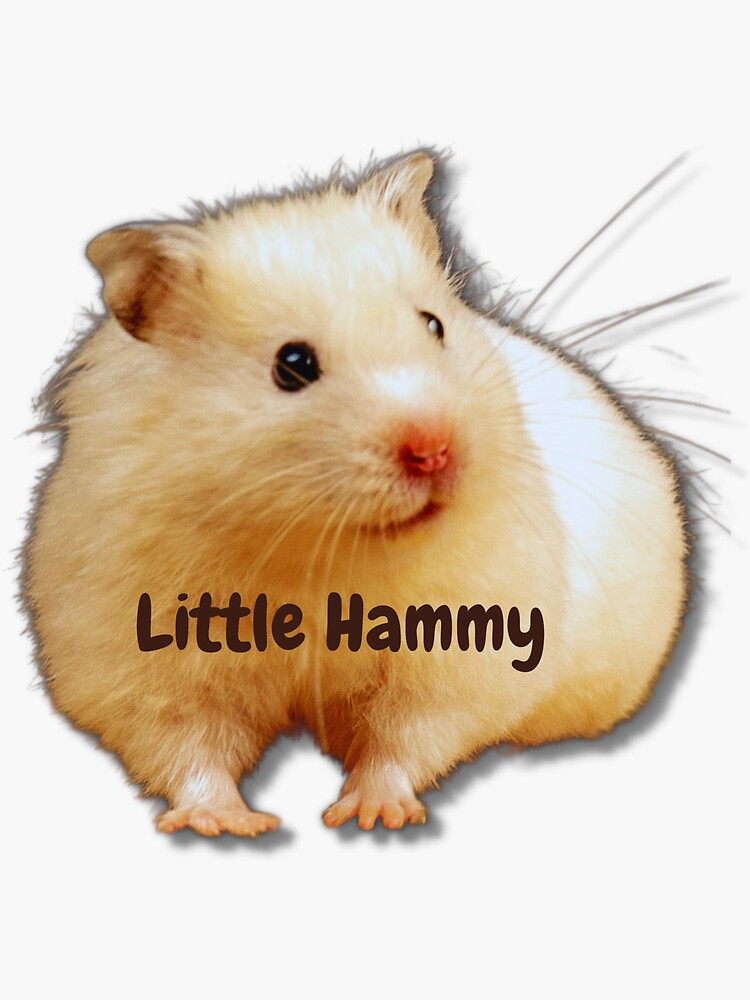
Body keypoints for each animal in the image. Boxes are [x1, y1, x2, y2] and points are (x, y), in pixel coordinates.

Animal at [24, 151, 687, 836]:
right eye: (292, 365)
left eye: (434, 324)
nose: (435, 451)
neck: (316, 548)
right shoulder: (143, 660)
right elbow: (188, 745)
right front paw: (231, 823)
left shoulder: (456, 661)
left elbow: (405, 738)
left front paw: (372, 814)